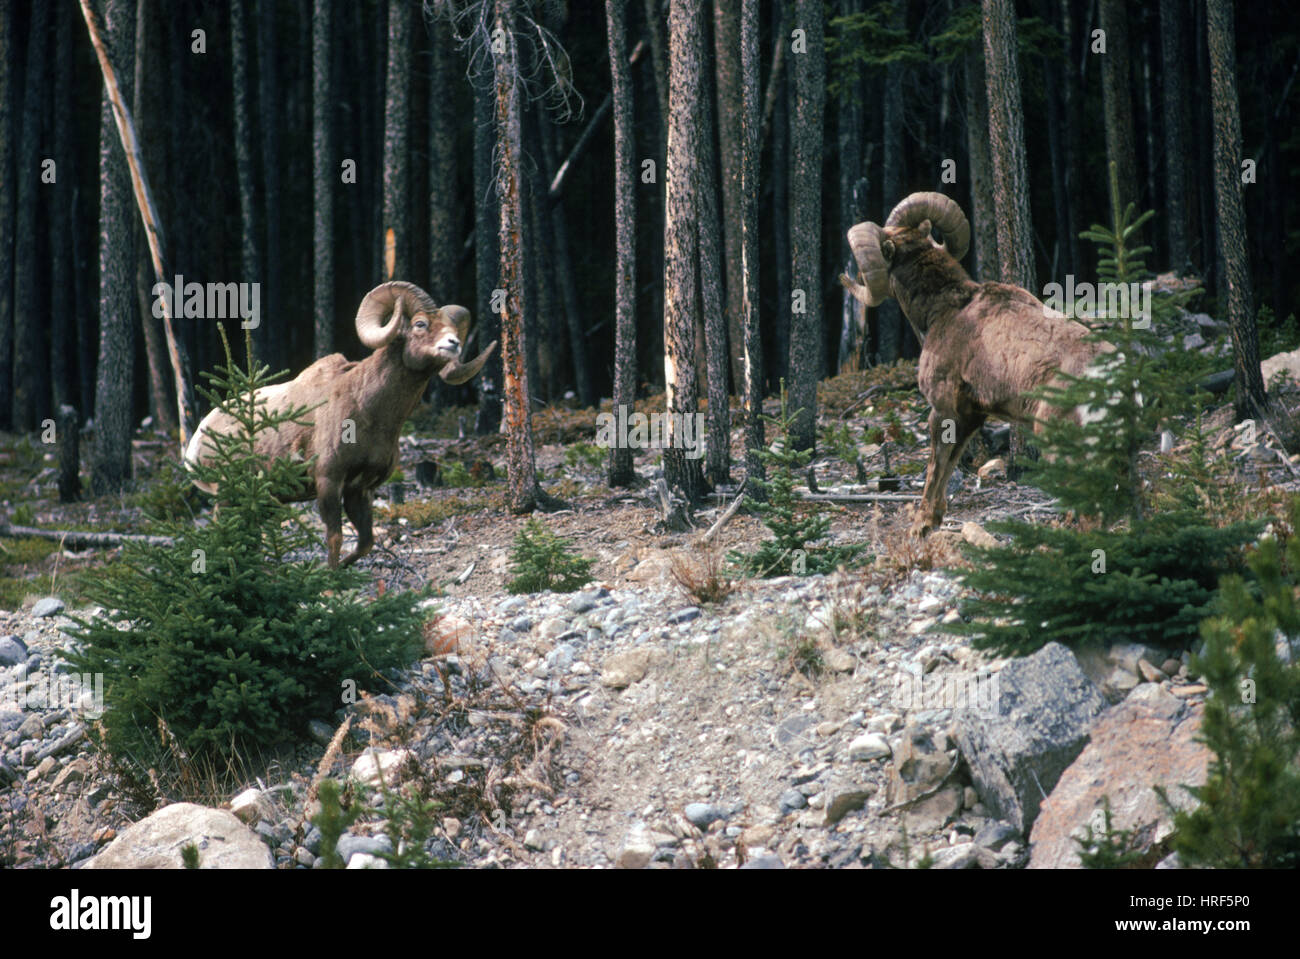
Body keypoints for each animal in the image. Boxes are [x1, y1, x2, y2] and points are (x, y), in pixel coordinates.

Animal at [185, 281, 497, 568]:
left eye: (453, 329)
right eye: (420, 323)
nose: (453, 344)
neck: (369, 414)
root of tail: (197, 441)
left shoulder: (360, 490)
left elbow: (365, 542)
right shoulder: (328, 482)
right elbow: (334, 538)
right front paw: (329, 583)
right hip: (227, 496)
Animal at [840, 192, 1107, 537]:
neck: (945, 310)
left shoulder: (943, 411)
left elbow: (936, 467)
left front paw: (922, 526)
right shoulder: (971, 416)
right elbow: (950, 464)